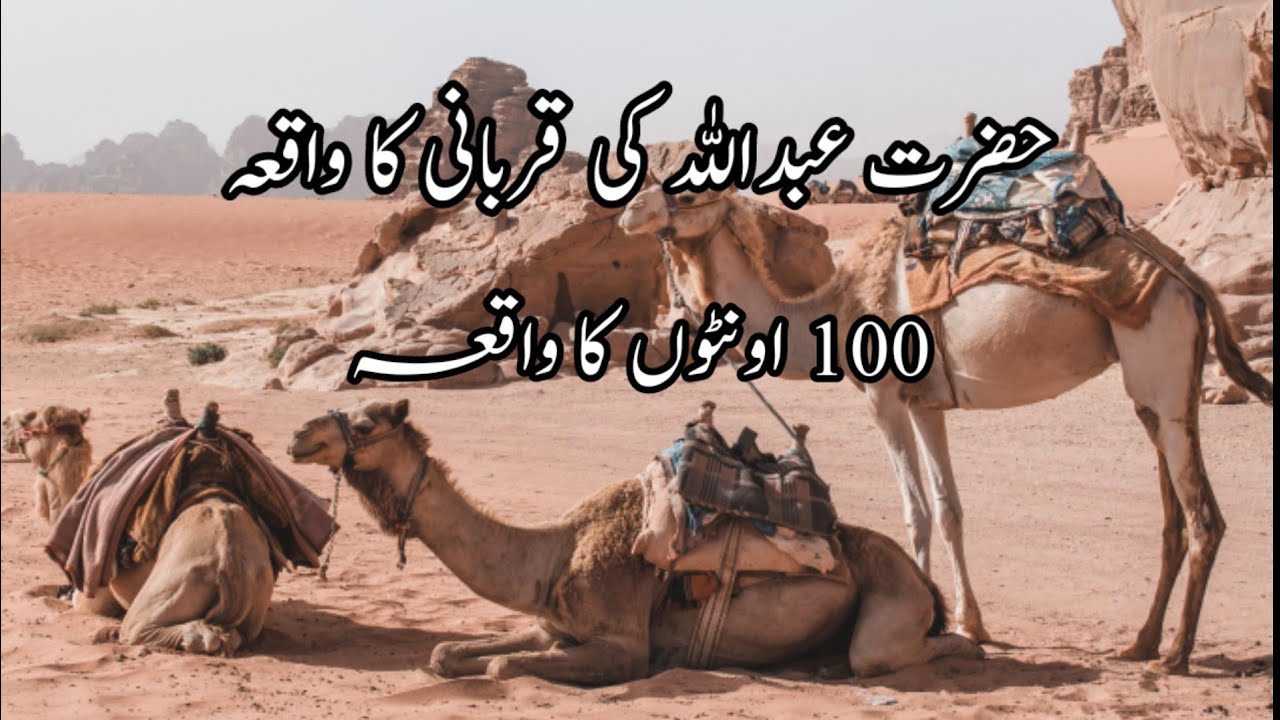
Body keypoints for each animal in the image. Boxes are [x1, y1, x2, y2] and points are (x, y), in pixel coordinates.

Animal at [287, 398, 983, 685]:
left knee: (890, 652)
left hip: (891, 600)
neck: (552, 554)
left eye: (366, 425)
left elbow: (502, 667)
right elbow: (446, 653)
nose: (299, 436)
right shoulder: (550, 625)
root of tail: (920, 579)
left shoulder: (622, 644)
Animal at [616, 182, 1273, 675]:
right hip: (1158, 386)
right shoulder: (926, 403)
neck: (829, 310)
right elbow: (948, 507)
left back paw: (1175, 655)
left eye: (689, 189)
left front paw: (926, 617)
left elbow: (915, 510)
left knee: (1202, 517)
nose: (630, 211)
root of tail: (1190, 279)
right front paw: (971, 622)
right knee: (1173, 513)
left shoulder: (884, 395)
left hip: (1158, 352)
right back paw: (1139, 643)